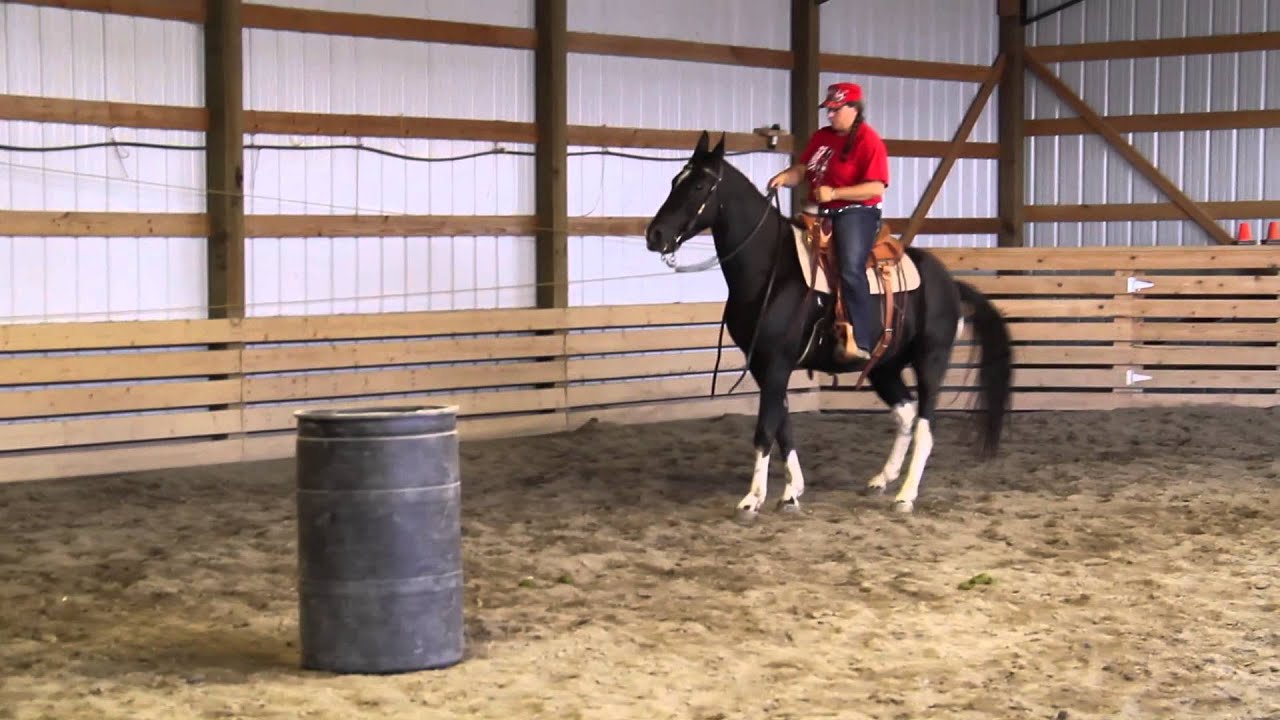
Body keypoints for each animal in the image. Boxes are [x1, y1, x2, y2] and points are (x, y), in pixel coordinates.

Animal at [643, 131, 1013, 524]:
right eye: (675, 181)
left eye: (699, 185)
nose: (655, 235)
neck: (771, 270)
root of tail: (951, 283)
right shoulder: (763, 365)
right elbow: (783, 427)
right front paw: (791, 493)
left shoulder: (776, 364)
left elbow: (765, 429)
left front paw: (752, 499)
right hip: (885, 366)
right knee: (906, 414)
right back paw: (883, 478)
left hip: (931, 360)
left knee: (926, 425)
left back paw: (906, 495)